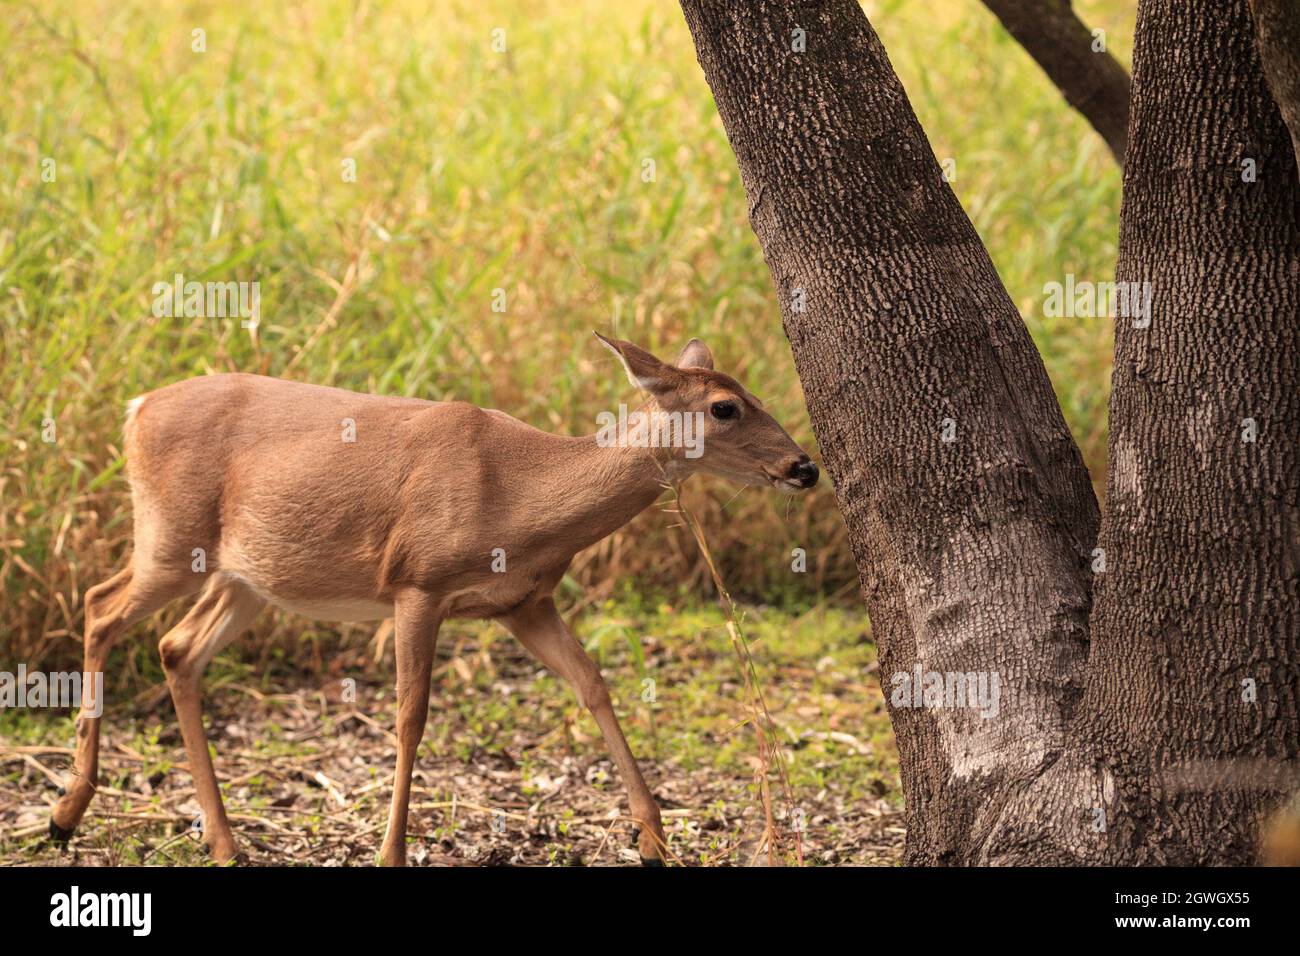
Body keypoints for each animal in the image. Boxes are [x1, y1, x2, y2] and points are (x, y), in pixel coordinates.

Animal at [49, 333, 819, 866]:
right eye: (725, 406)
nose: (804, 466)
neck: (518, 495)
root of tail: (137, 407)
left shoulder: (523, 603)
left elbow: (593, 684)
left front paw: (654, 840)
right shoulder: (417, 583)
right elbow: (411, 717)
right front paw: (390, 852)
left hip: (250, 578)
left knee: (177, 648)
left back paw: (222, 842)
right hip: (171, 538)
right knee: (99, 604)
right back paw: (66, 814)